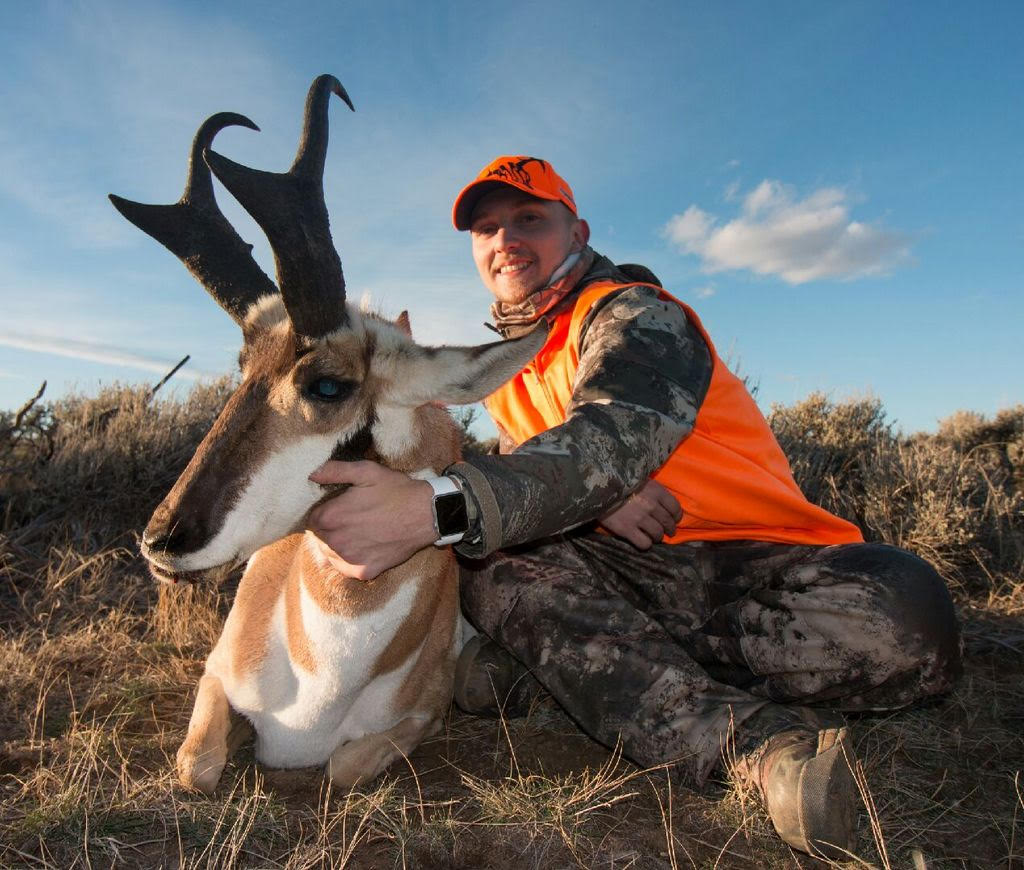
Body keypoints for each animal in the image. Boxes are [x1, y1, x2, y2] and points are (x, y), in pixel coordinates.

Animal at [110, 75, 544, 793]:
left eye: (328, 386)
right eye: (243, 367)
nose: (161, 540)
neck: (317, 689)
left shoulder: (417, 721)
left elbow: (341, 768)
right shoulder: (213, 679)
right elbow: (197, 766)